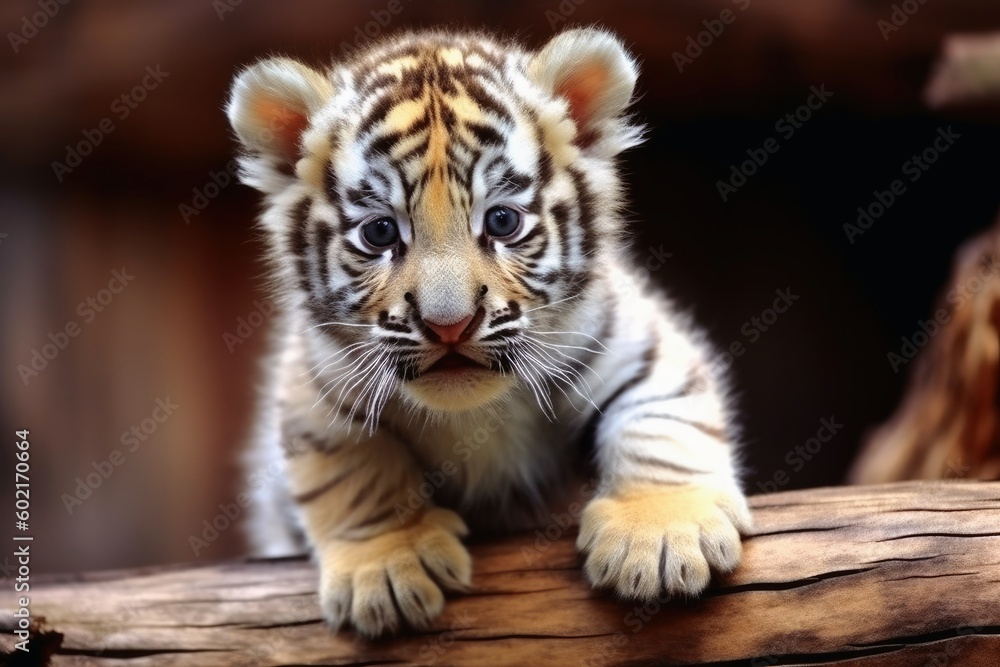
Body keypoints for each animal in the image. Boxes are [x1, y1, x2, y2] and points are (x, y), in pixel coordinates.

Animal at [227, 27, 751, 637]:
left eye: (502, 221)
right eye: (380, 233)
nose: (448, 324)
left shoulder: (638, 347)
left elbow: (662, 422)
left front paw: (662, 537)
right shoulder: (316, 389)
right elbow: (356, 473)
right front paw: (387, 567)